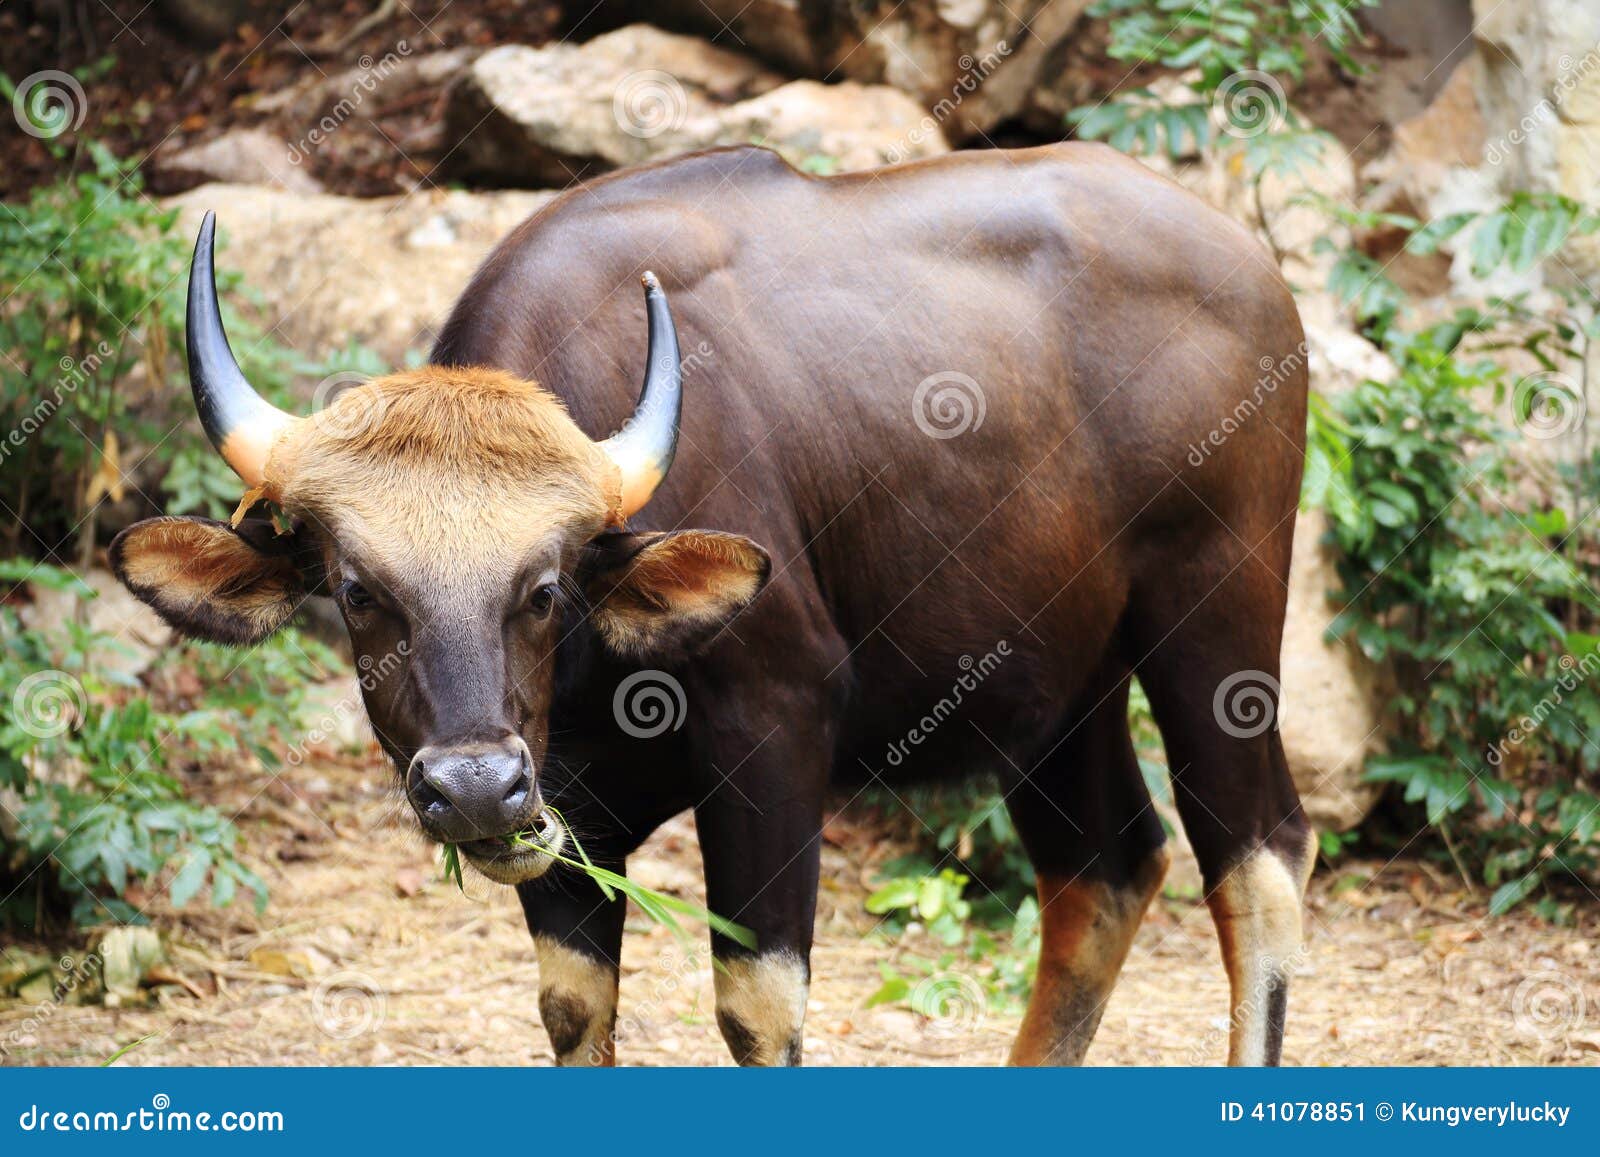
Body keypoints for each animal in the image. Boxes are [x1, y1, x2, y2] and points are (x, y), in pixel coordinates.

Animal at [111, 142, 1313, 1067]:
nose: (477, 788)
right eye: (360, 591)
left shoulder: (773, 733)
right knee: (1107, 866)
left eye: (543, 587)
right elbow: (574, 1006)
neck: (591, 675)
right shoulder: (572, 815)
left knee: (1257, 855)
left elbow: (757, 1007)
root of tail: (1256, 273)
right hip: (1056, 685)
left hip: (1218, 617)